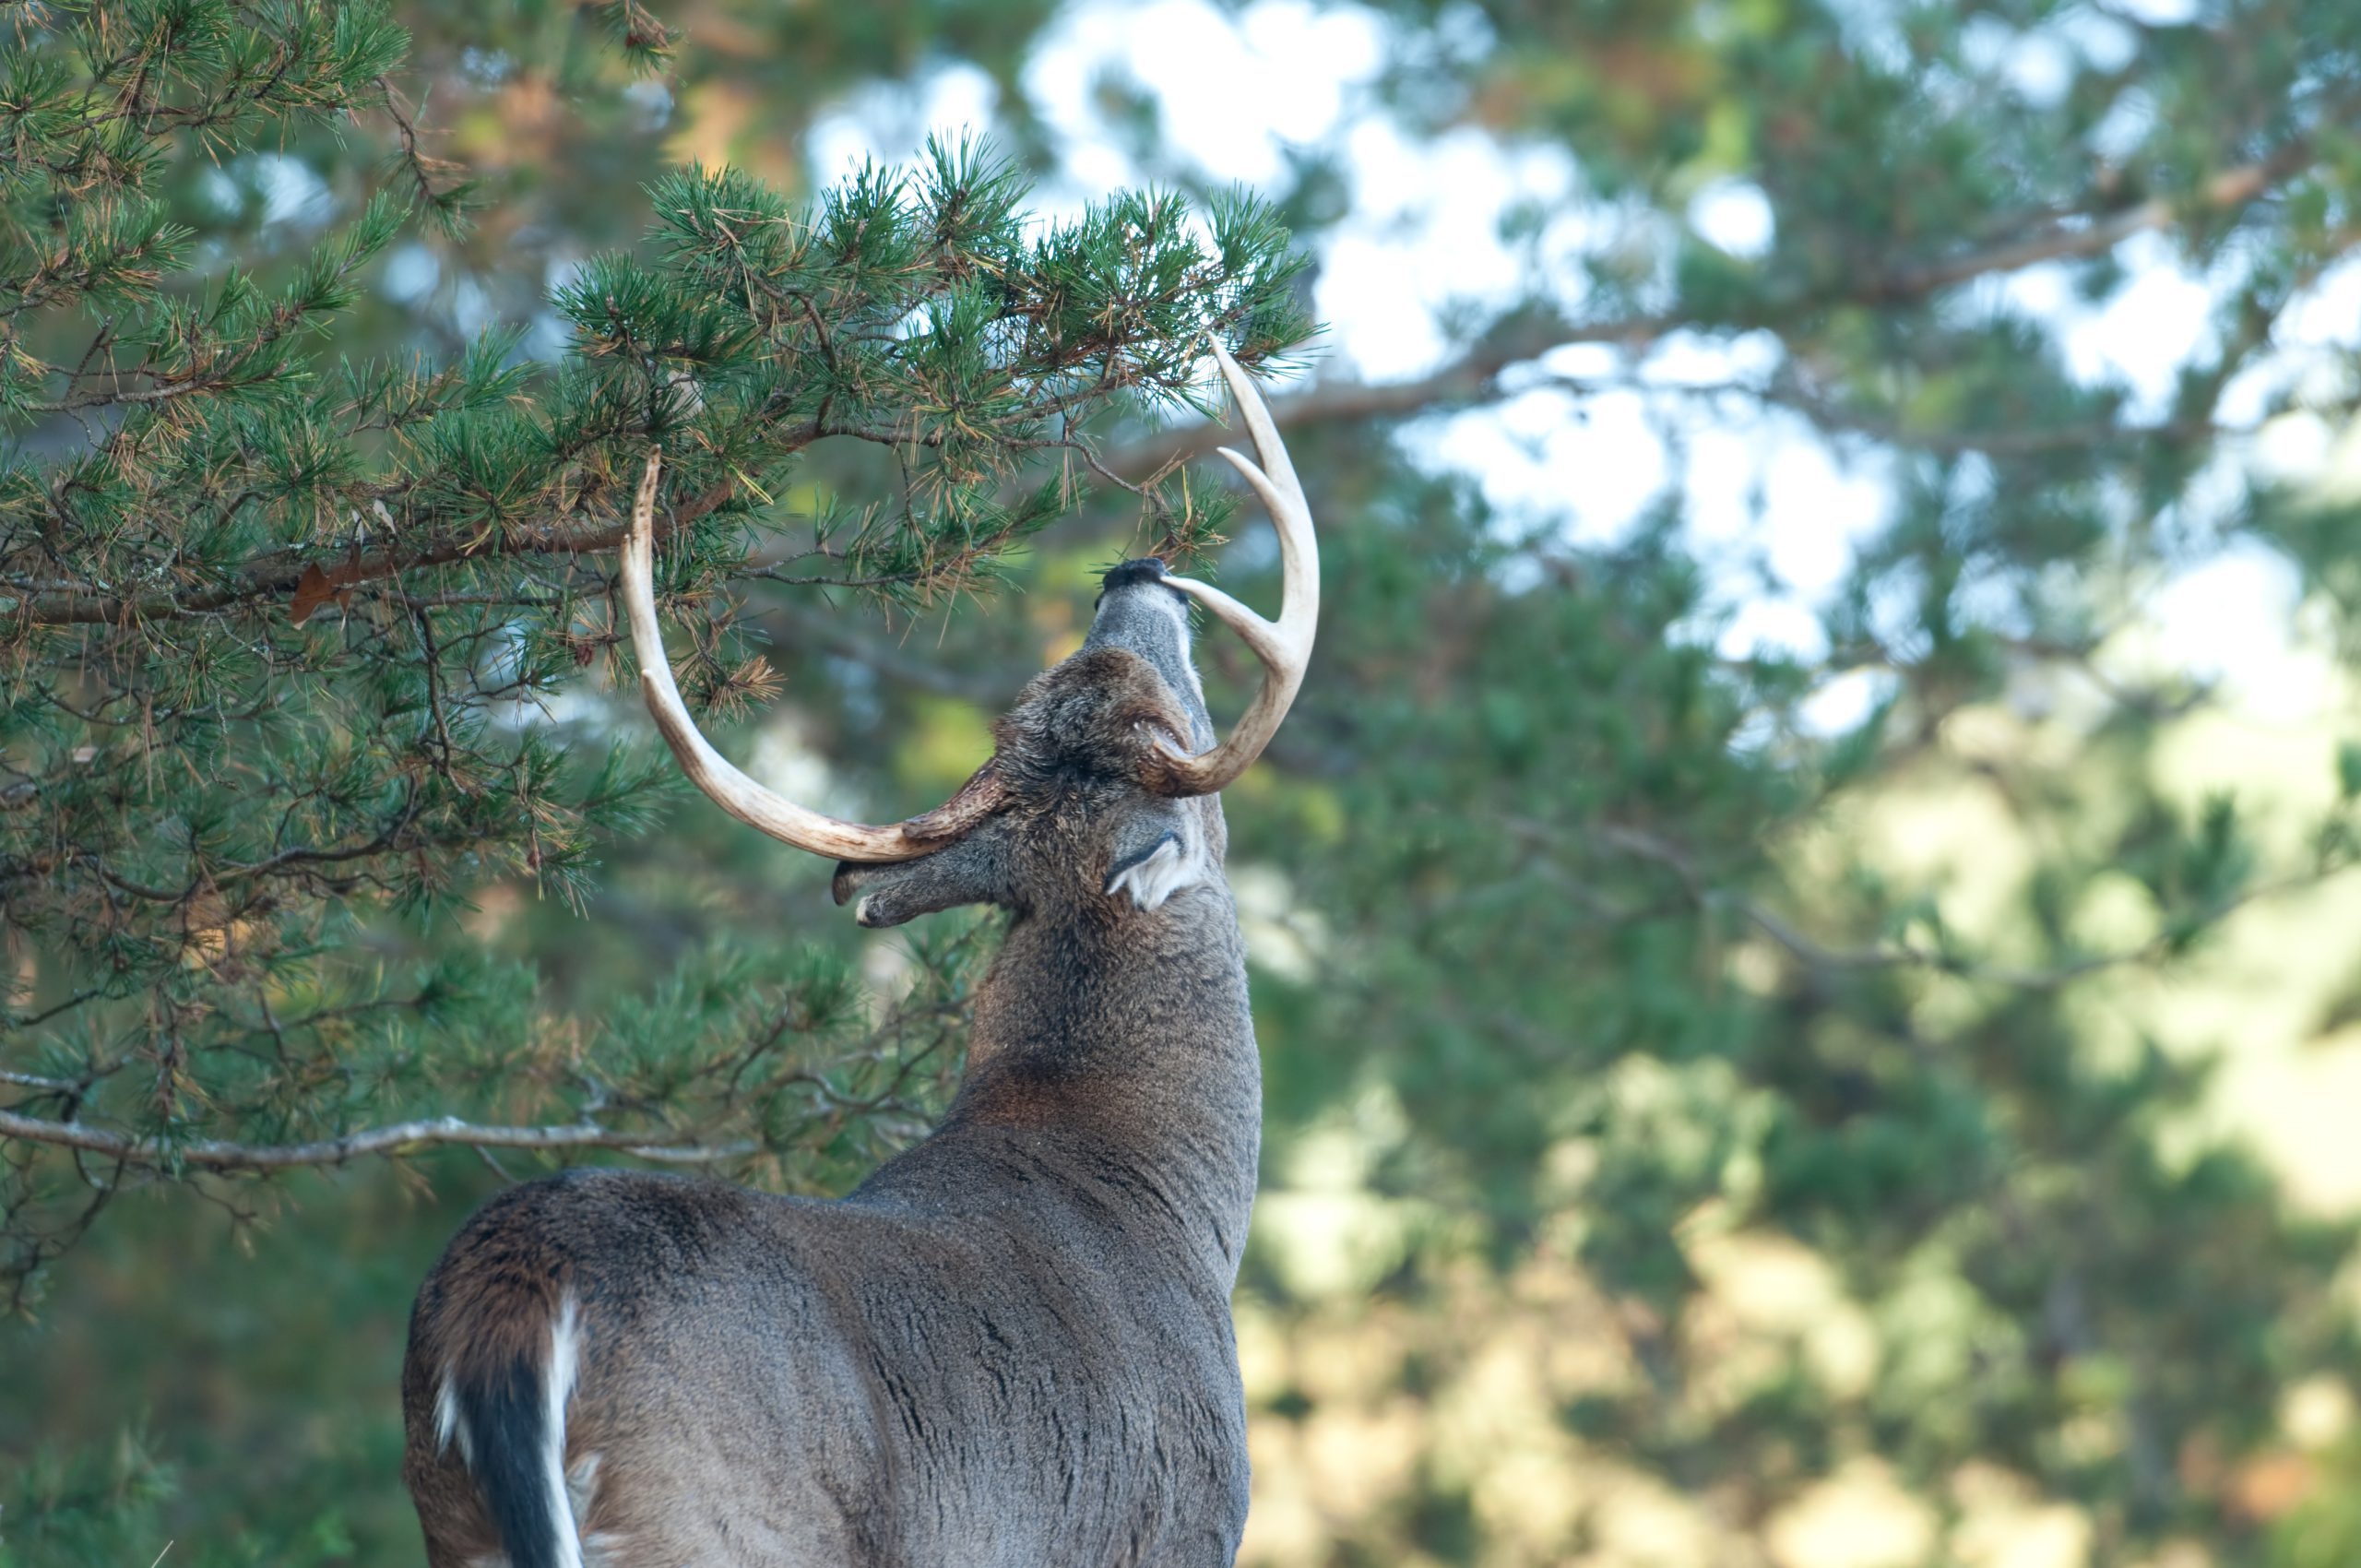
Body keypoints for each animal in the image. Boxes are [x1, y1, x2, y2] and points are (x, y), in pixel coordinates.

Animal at [399, 343, 1317, 1568]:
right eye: (1174, 714)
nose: (1134, 567)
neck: (1166, 1198)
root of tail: (510, 1303)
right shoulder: (1179, 1533)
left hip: (453, 1517)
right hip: (710, 1520)